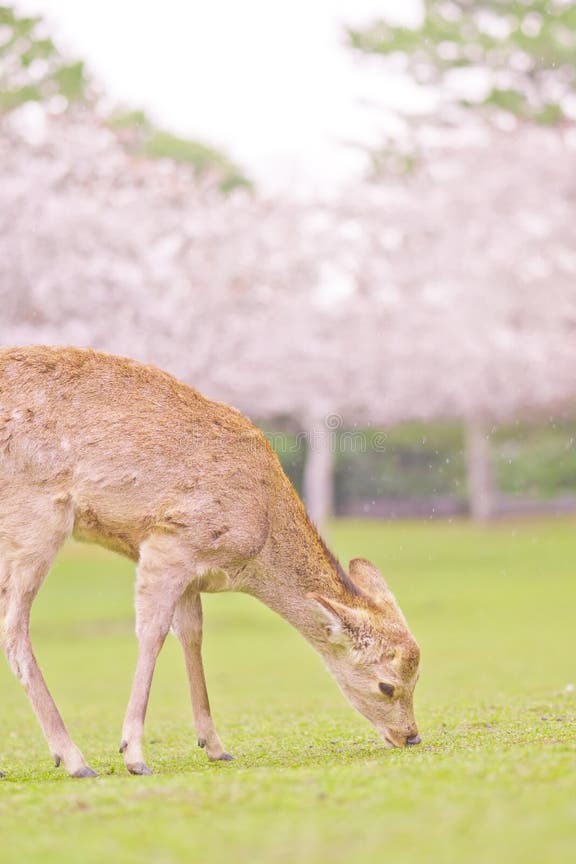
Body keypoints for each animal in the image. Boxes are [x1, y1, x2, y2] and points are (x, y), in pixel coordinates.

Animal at [0, 346, 421, 778]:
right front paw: (134, 754)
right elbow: (152, 634)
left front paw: (215, 746)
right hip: (35, 518)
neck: (255, 548)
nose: (411, 736)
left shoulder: (192, 573)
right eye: (387, 685)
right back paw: (74, 759)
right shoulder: (171, 541)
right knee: (13, 628)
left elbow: (192, 635)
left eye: (417, 676)